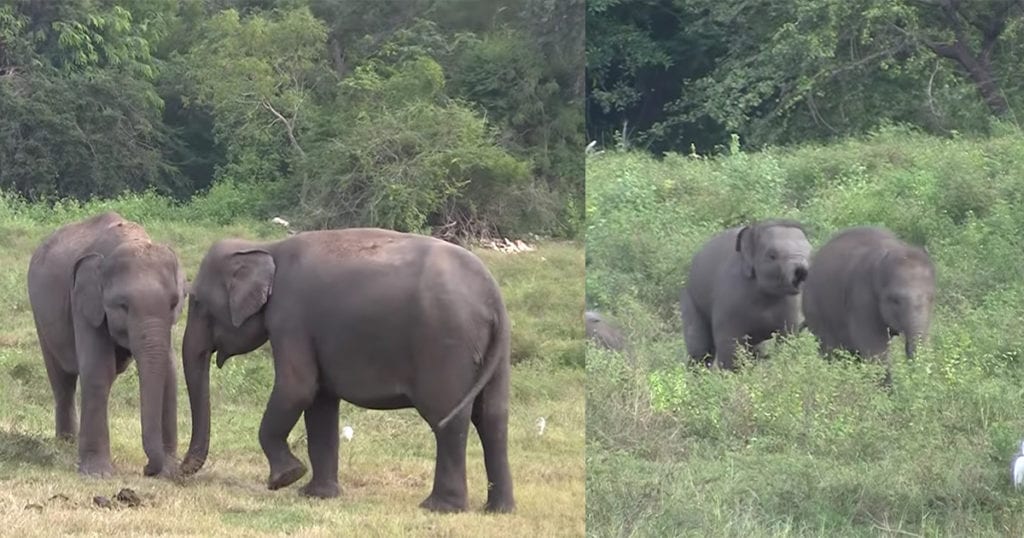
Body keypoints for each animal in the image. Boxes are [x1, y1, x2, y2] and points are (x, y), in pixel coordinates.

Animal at [26, 212, 186, 477]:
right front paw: (97, 474)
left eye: (174, 303)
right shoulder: (83, 302)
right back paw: (66, 442)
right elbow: (97, 370)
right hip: (40, 315)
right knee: (62, 379)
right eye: (123, 305)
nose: (146, 469)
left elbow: (170, 372)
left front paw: (169, 471)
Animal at [178, 228, 515, 514]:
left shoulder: (290, 318)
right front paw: (316, 494)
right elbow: (320, 402)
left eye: (197, 302)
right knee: (492, 417)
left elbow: (297, 388)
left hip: (444, 343)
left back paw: (439, 507)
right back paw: (498, 509)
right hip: (495, 353)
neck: (267, 246)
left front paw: (285, 478)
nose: (181, 471)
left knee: (448, 417)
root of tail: (494, 297)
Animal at [680, 219, 811, 370]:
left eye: (811, 253)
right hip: (690, 299)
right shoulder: (729, 298)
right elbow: (730, 344)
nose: (802, 272)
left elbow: (788, 336)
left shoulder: (793, 304)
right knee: (699, 348)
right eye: (772, 256)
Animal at [801, 226, 936, 385]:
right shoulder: (862, 297)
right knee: (830, 349)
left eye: (932, 298)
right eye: (894, 300)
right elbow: (874, 349)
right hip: (815, 310)